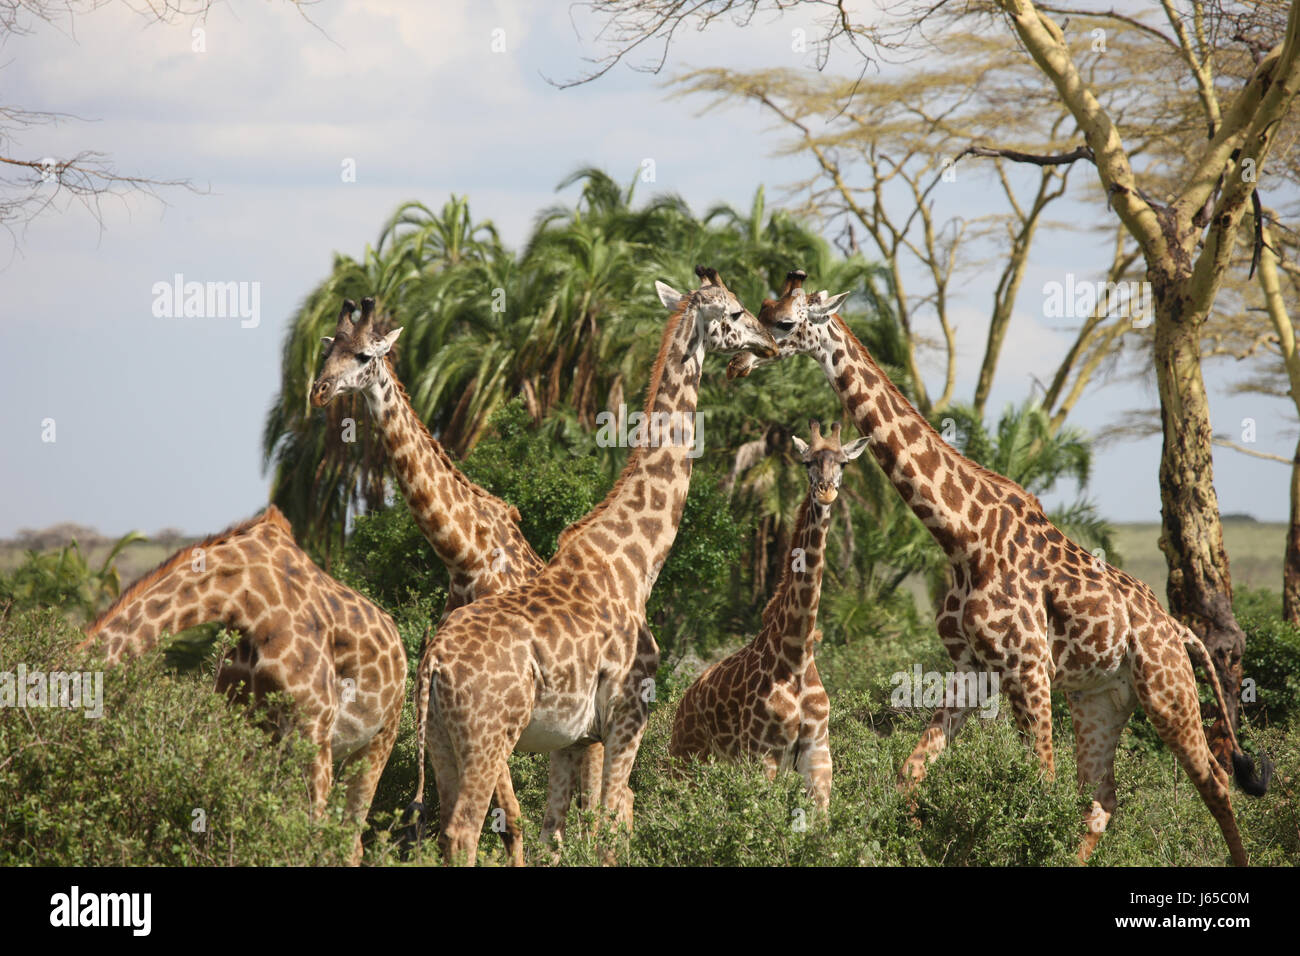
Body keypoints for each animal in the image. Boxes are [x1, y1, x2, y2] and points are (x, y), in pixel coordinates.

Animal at [75, 505, 406, 865]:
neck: (243, 597)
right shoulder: (242, 730)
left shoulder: (314, 726)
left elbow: (310, 839)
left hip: (381, 736)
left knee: (350, 838)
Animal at [310, 296, 601, 864]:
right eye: (327, 350)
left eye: (363, 356)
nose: (318, 391)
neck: (464, 553)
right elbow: (499, 817)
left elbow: (510, 819)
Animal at [414, 266, 777, 864]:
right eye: (735, 312)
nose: (769, 341)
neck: (637, 563)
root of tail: (434, 663)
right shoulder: (629, 716)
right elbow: (610, 822)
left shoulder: (573, 738)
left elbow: (555, 835)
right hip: (488, 737)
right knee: (463, 829)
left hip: (442, 742)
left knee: (443, 830)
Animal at [669, 420, 867, 809]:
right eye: (807, 462)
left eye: (843, 463)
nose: (825, 492)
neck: (797, 654)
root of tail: (681, 706)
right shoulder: (764, 755)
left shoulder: (818, 756)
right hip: (686, 763)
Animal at [728, 269, 1271, 865]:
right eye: (756, 310)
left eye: (782, 322)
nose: (736, 363)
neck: (962, 536)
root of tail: (1177, 629)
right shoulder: (974, 669)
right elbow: (909, 773)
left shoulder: (1028, 667)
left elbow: (1038, 786)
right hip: (1101, 697)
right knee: (1101, 798)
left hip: (1165, 688)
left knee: (1215, 783)